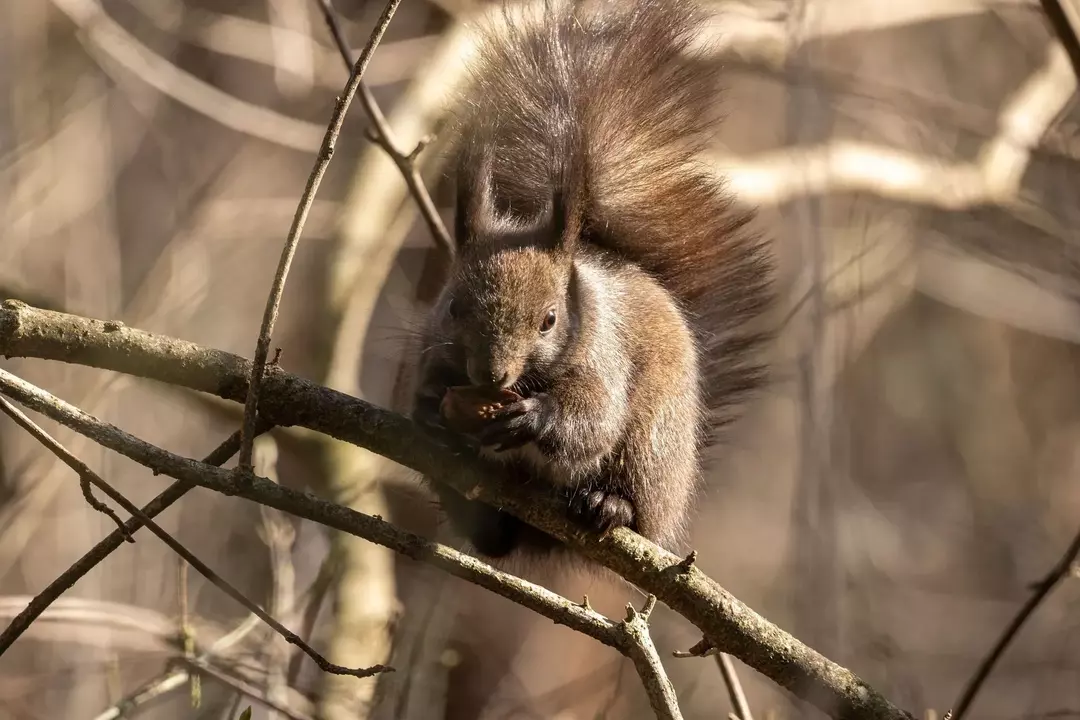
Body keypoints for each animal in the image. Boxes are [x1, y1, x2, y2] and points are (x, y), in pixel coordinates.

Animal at [408, 0, 773, 561]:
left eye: (550, 320)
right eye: (451, 307)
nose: (491, 376)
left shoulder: (604, 359)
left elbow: (594, 418)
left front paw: (535, 417)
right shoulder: (436, 346)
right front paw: (427, 405)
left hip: (652, 446)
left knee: (632, 497)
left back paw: (609, 506)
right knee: (491, 540)